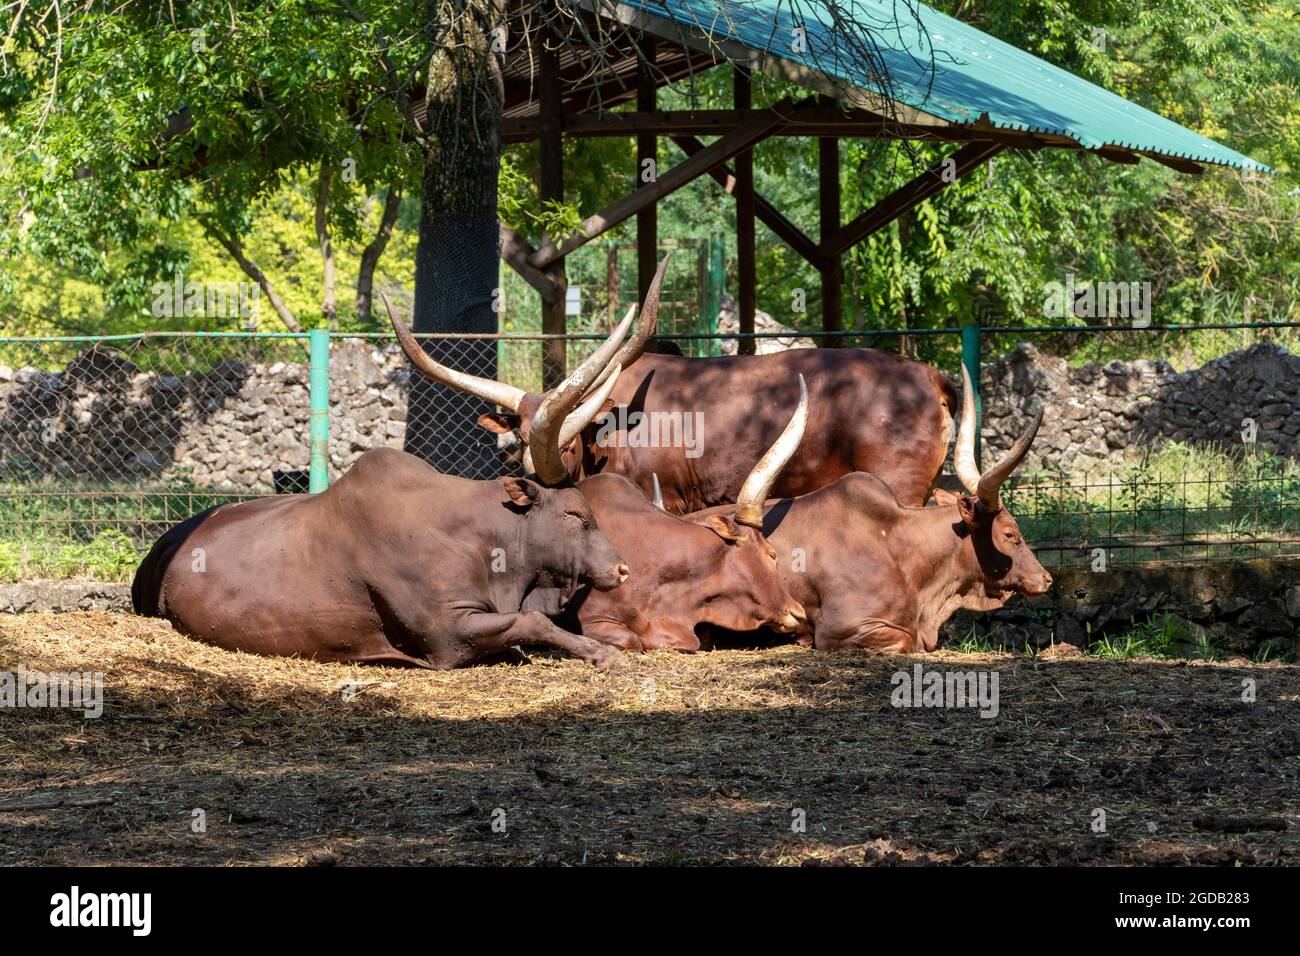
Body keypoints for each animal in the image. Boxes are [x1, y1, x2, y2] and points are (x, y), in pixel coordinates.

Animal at [131, 312, 637, 670]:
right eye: (574, 514)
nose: (621, 568)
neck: (483, 538)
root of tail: (164, 545)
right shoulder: (449, 634)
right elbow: (531, 622)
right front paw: (602, 653)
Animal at [386, 254, 956, 512]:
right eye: (520, 434)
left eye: (570, 437)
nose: (537, 471)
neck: (612, 433)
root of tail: (929, 375)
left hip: (900, 489)